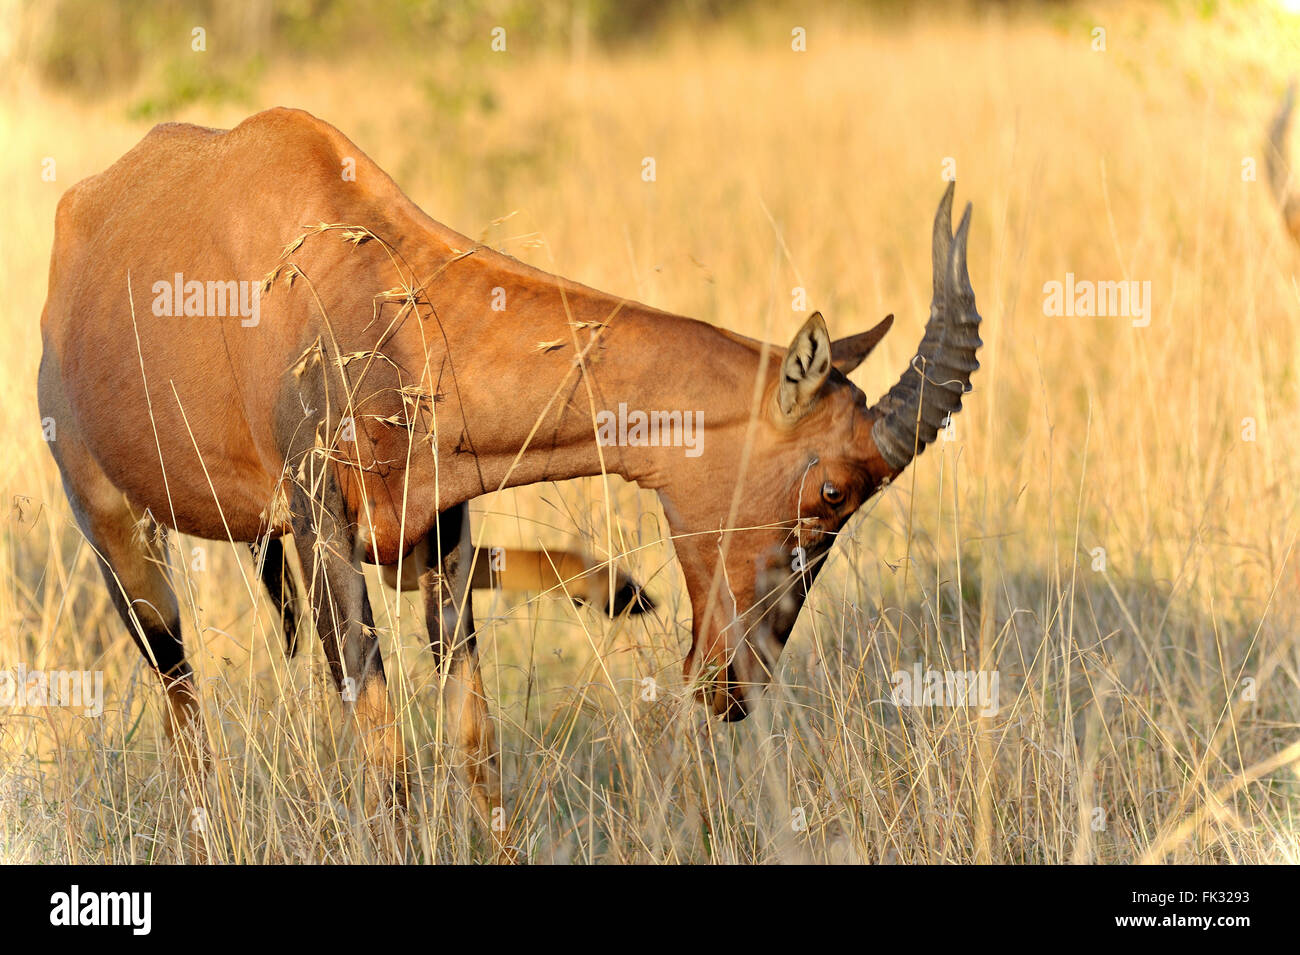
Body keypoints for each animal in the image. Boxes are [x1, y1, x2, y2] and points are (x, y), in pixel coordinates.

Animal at [38, 107, 982, 841]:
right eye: (831, 489)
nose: (731, 686)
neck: (361, 275)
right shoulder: (321, 528)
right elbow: (388, 758)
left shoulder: (442, 528)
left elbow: (477, 744)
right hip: (123, 536)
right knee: (180, 695)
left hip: (375, 552)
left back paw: (617, 589)